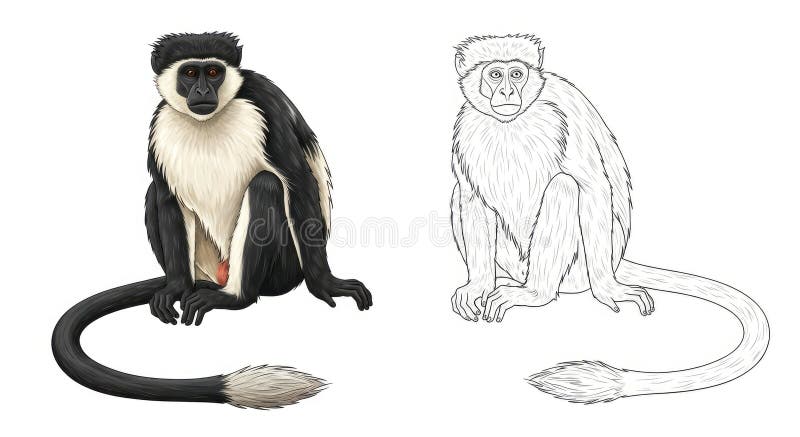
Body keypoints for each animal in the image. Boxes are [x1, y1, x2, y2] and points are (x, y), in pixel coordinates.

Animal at [52, 32, 372, 409]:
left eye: (214, 72)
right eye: (190, 73)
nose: (203, 91)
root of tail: (215, 277)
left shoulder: (266, 106)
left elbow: (297, 182)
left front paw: (326, 284)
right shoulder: (161, 125)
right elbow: (167, 196)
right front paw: (175, 288)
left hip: (282, 269)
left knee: (267, 186)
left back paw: (233, 297)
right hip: (203, 262)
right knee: (154, 192)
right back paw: (189, 287)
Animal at [450, 34, 769, 403]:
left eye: (516, 74)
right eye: (495, 74)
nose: (505, 92)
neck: (512, 122)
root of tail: (616, 257)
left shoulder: (562, 111)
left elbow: (592, 187)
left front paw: (607, 289)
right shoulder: (466, 127)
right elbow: (471, 197)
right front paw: (478, 285)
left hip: (576, 269)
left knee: (564, 186)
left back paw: (536, 292)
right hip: (514, 260)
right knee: (460, 195)